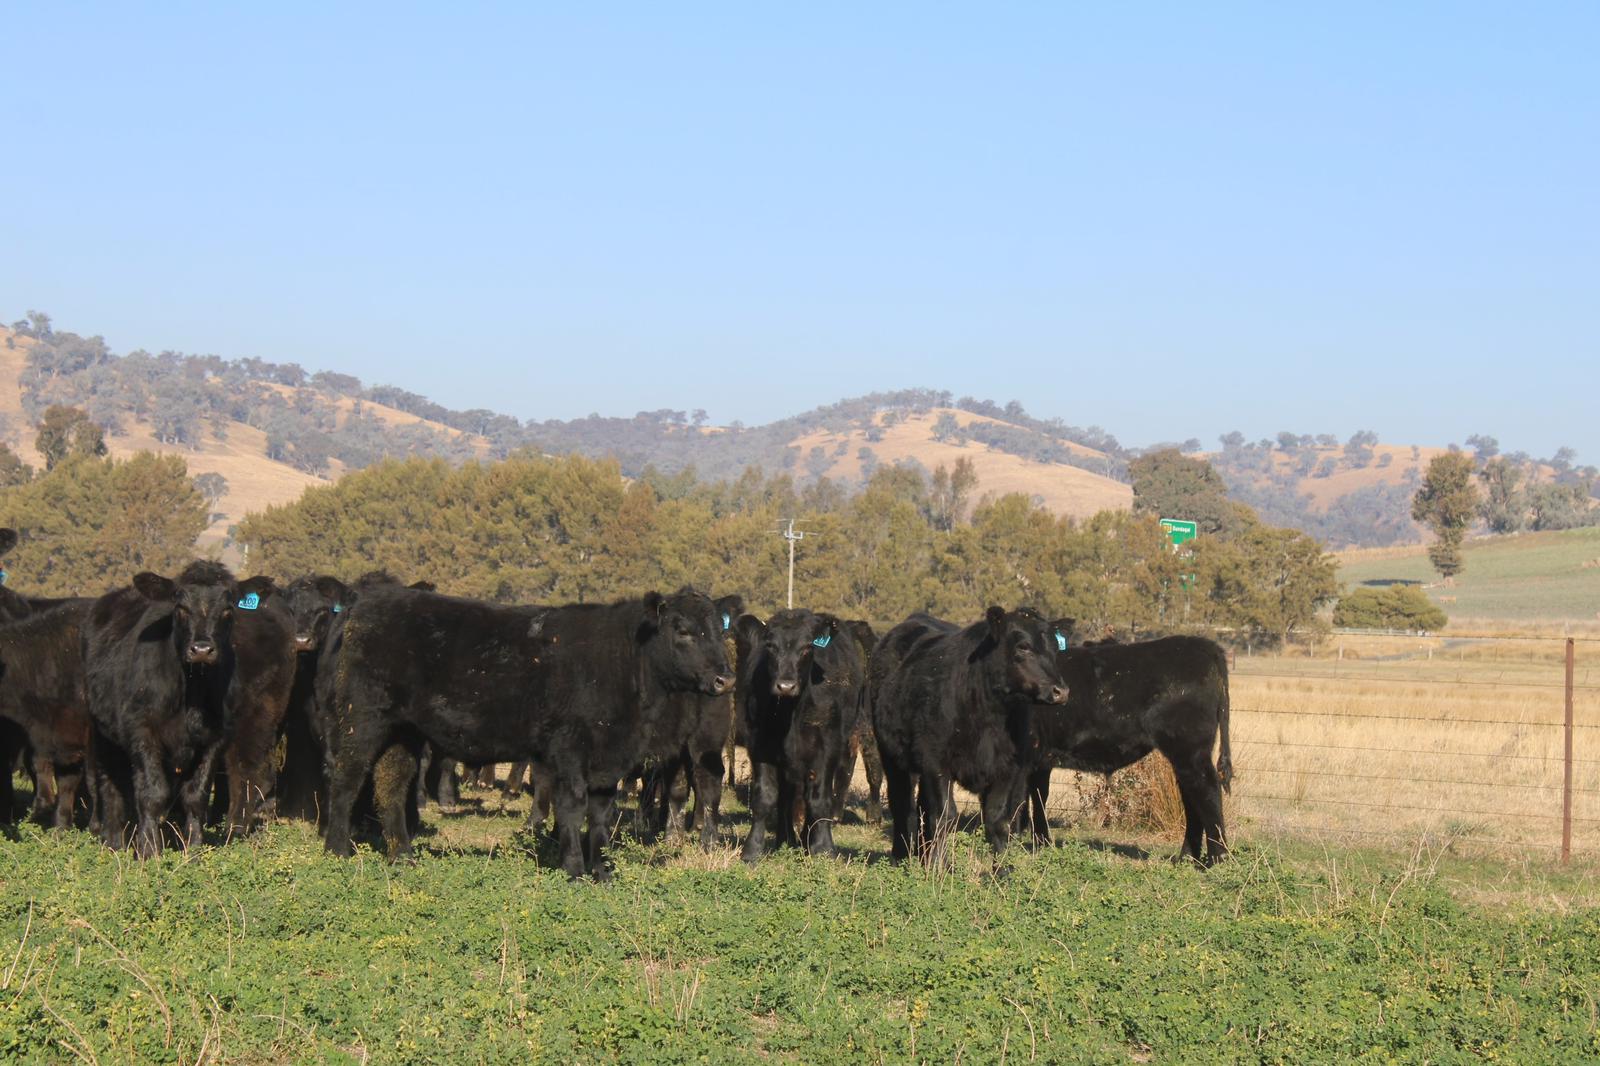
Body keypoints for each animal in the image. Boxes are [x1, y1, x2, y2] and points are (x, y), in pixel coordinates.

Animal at [83, 561, 275, 856]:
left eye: (228, 608)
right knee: (110, 783)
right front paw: (150, 851)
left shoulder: (215, 738)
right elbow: (153, 794)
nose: (202, 649)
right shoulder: (142, 731)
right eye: (181, 607)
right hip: (103, 735)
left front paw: (193, 851)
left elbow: (196, 797)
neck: (191, 690)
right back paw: (114, 842)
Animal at [321, 586, 733, 878]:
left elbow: (600, 814)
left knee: (391, 785)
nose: (724, 679)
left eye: (717, 630)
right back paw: (336, 850)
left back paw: (403, 857)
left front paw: (602, 872)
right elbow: (572, 807)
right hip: (363, 719)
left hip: (404, 730)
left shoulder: (609, 758)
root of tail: (366, 604)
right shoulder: (570, 749)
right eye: (683, 630)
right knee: (346, 780)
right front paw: (574, 869)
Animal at [735, 608, 867, 862]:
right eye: (770, 646)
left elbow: (820, 800)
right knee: (787, 797)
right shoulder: (760, 746)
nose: (786, 686)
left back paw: (807, 840)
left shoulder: (828, 748)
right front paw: (752, 850)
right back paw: (786, 840)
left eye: (807, 647)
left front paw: (823, 848)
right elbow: (765, 797)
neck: (791, 711)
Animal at [870, 607, 1071, 868]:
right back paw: (900, 857)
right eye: (1023, 646)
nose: (1061, 691)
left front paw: (1002, 871)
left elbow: (997, 820)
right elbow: (945, 815)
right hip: (892, 756)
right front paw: (939, 868)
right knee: (902, 804)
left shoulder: (1008, 767)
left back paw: (922, 856)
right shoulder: (936, 762)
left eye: (1055, 649)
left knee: (922, 806)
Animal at [1021, 635, 1232, 865]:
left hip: (1190, 750)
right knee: (1192, 797)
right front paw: (1037, 842)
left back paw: (1217, 858)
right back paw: (1186, 857)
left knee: (1208, 790)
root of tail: (1204, 644)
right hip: (1185, 756)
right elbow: (1037, 796)